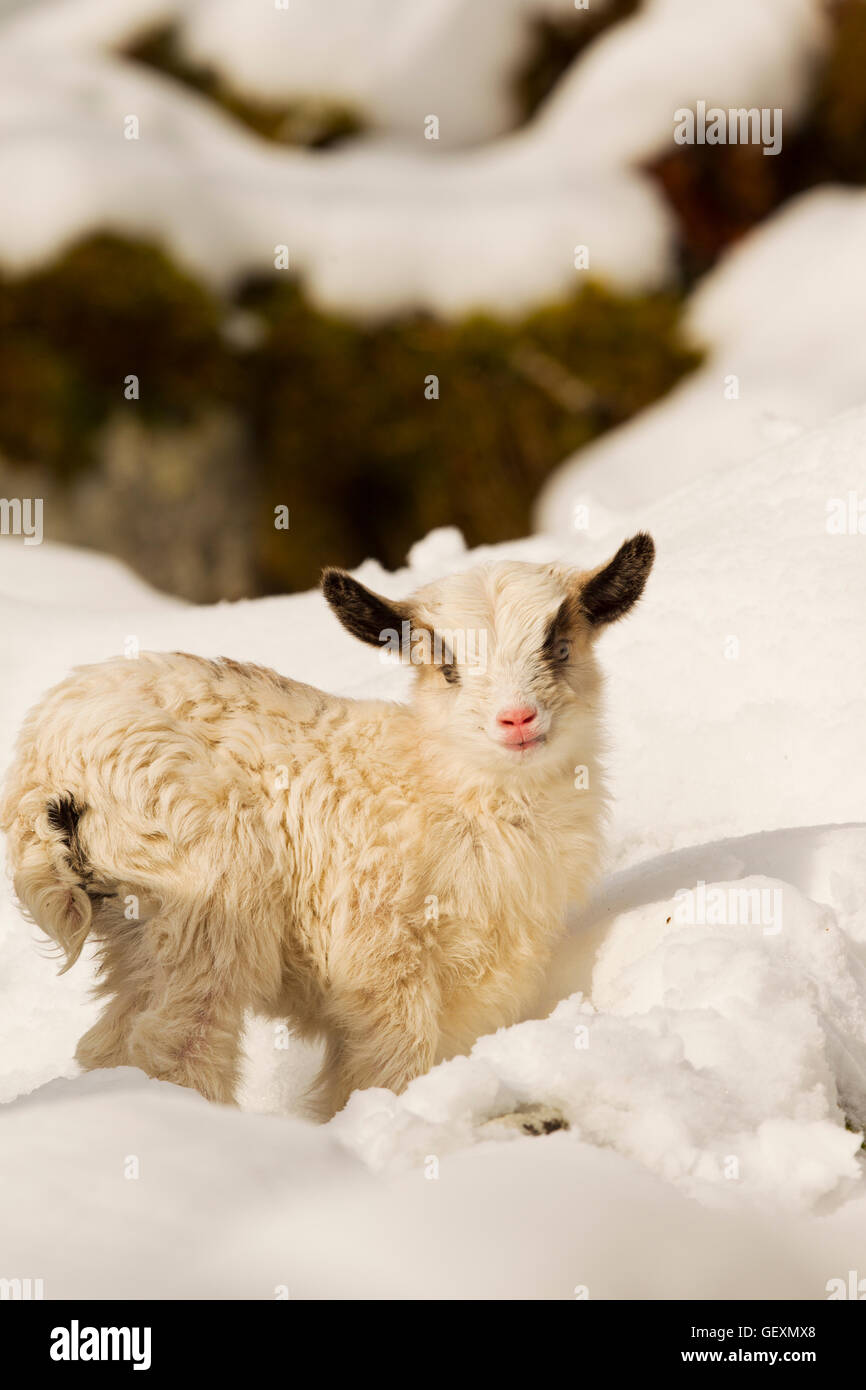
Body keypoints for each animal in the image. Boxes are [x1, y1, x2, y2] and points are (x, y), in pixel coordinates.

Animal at [0, 535, 654, 1118]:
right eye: (446, 668)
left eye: (559, 647)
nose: (517, 719)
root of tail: (42, 764)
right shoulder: (377, 951)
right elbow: (388, 1061)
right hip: (205, 896)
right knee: (177, 1037)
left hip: (136, 931)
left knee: (112, 1041)